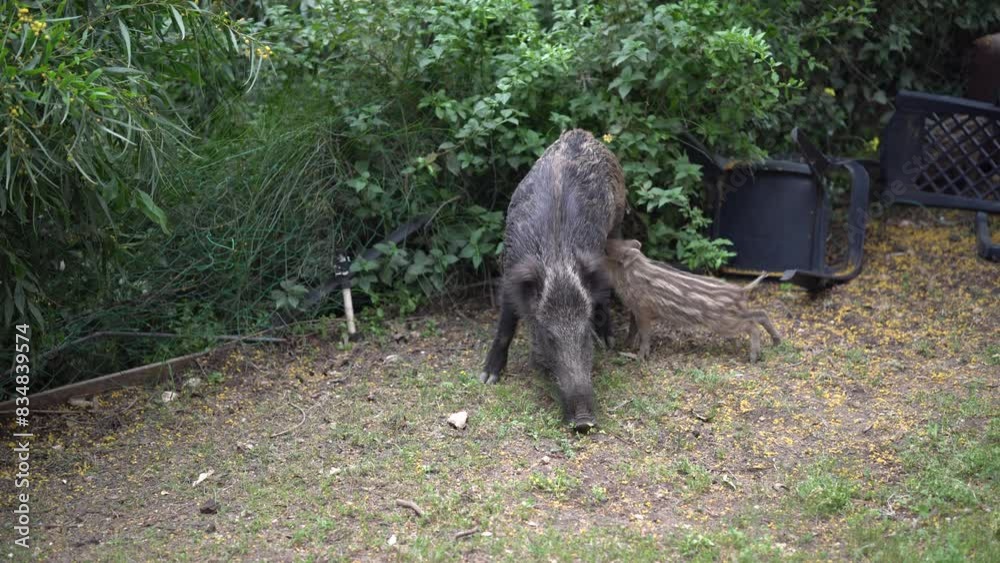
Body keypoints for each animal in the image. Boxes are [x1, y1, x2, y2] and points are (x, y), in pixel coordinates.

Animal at [481, 129, 627, 432]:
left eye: (584, 333)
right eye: (548, 336)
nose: (584, 422)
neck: (558, 264)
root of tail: (579, 133)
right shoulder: (509, 273)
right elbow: (505, 325)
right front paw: (488, 378)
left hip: (618, 219)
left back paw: (610, 342)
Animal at [605, 239, 781, 362]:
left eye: (608, 252)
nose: (605, 241)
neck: (631, 273)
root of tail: (740, 290)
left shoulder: (643, 310)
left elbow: (644, 335)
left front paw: (639, 357)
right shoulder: (634, 309)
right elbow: (633, 328)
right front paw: (626, 345)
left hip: (723, 322)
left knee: (752, 325)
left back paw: (753, 357)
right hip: (734, 314)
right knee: (761, 313)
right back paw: (776, 342)